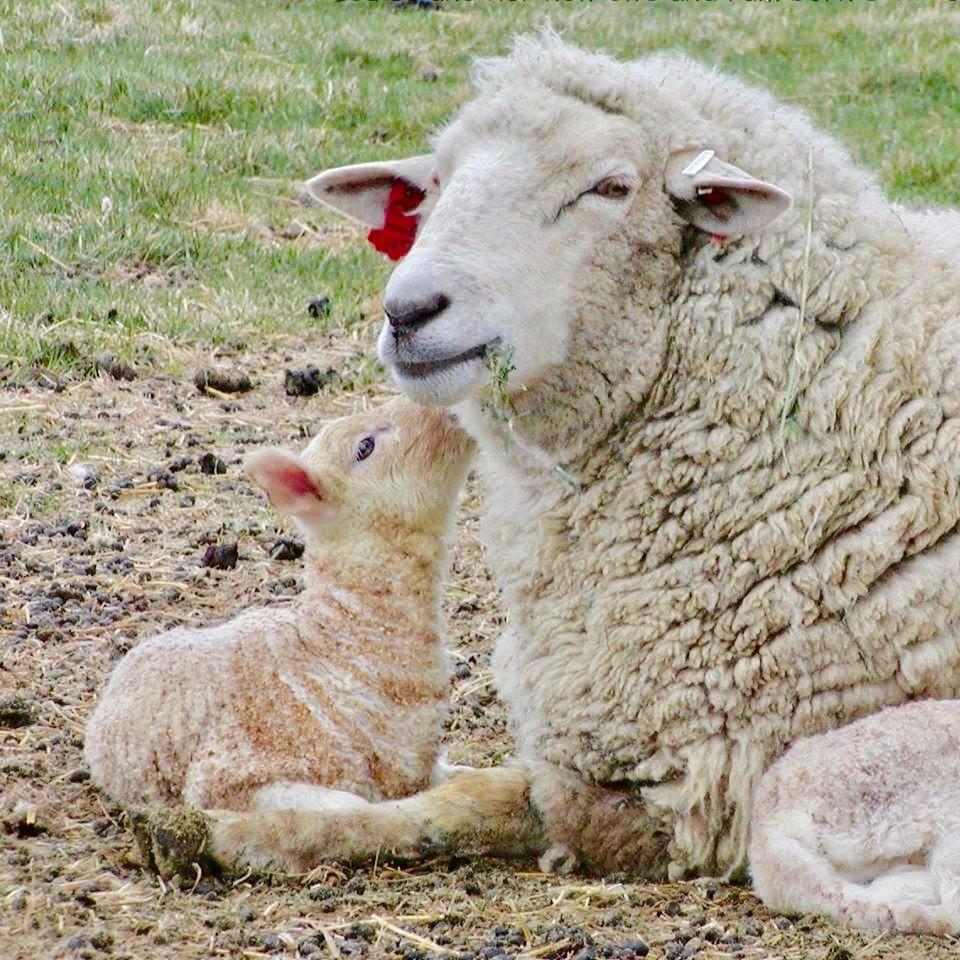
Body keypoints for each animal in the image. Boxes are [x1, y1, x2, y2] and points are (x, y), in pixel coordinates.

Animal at [144, 32, 960, 888]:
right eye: (436, 183)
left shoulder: (681, 786)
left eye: (612, 187)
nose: (408, 310)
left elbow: (456, 807)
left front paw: (226, 832)